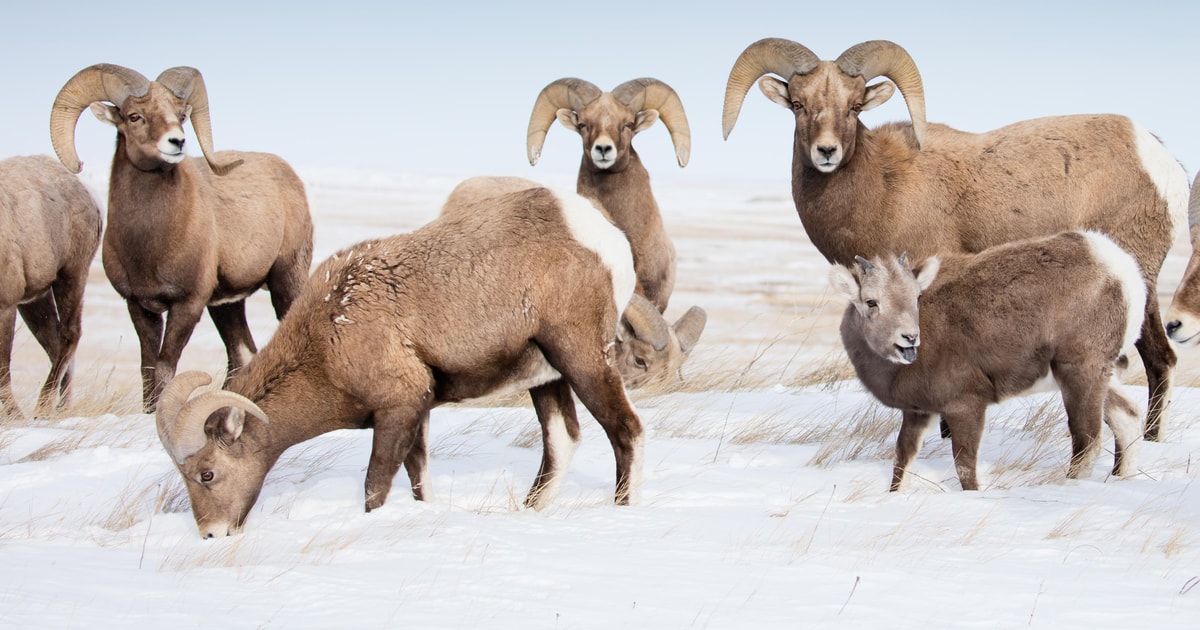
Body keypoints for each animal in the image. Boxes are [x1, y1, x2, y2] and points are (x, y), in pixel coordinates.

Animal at [0, 155, 102, 419]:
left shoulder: (6, 307)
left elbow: (3, 367)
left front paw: (15, 416)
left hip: (71, 276)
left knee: (69, 335)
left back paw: (43, 408)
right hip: (36, 301)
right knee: (53, 344)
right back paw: (60, 408)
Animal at [49, 63, 314, 412]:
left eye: (180, 116)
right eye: (134, 116)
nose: (177, 142)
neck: (149, 243)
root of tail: (290, 177)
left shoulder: (187, 305)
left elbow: (166, 366)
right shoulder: (140, 306)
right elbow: (148, 366)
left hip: (286, 281)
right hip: (227, 305)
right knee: (241, 355)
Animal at [154, 184, 645, 537]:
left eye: (207, 474)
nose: (212, 534)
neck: (326, 337)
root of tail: (603, 235)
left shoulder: (397, 408)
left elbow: (376, 486)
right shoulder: (417, 412)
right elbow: (418, 481)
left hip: (581, 357)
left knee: (626, 429)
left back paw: (624, 508)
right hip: (545, 375)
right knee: (561, 441)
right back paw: (529, 511)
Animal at [722, 38, 1188, 442]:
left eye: (854, 106)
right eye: (798, 105)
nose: (826, 152)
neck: (882, 187)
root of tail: (1160, 160)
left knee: (1160, 361)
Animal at [829, 231, 1144, 491]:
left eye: (917, 297)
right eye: (871, 302)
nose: (909, 338)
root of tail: (1120, 270)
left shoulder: (965, 406)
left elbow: (965, 469)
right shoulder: (918, 413)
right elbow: (902, 463)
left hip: (1079, 372)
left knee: (1087, 440)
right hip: (1096, 376)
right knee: (1127, 416)